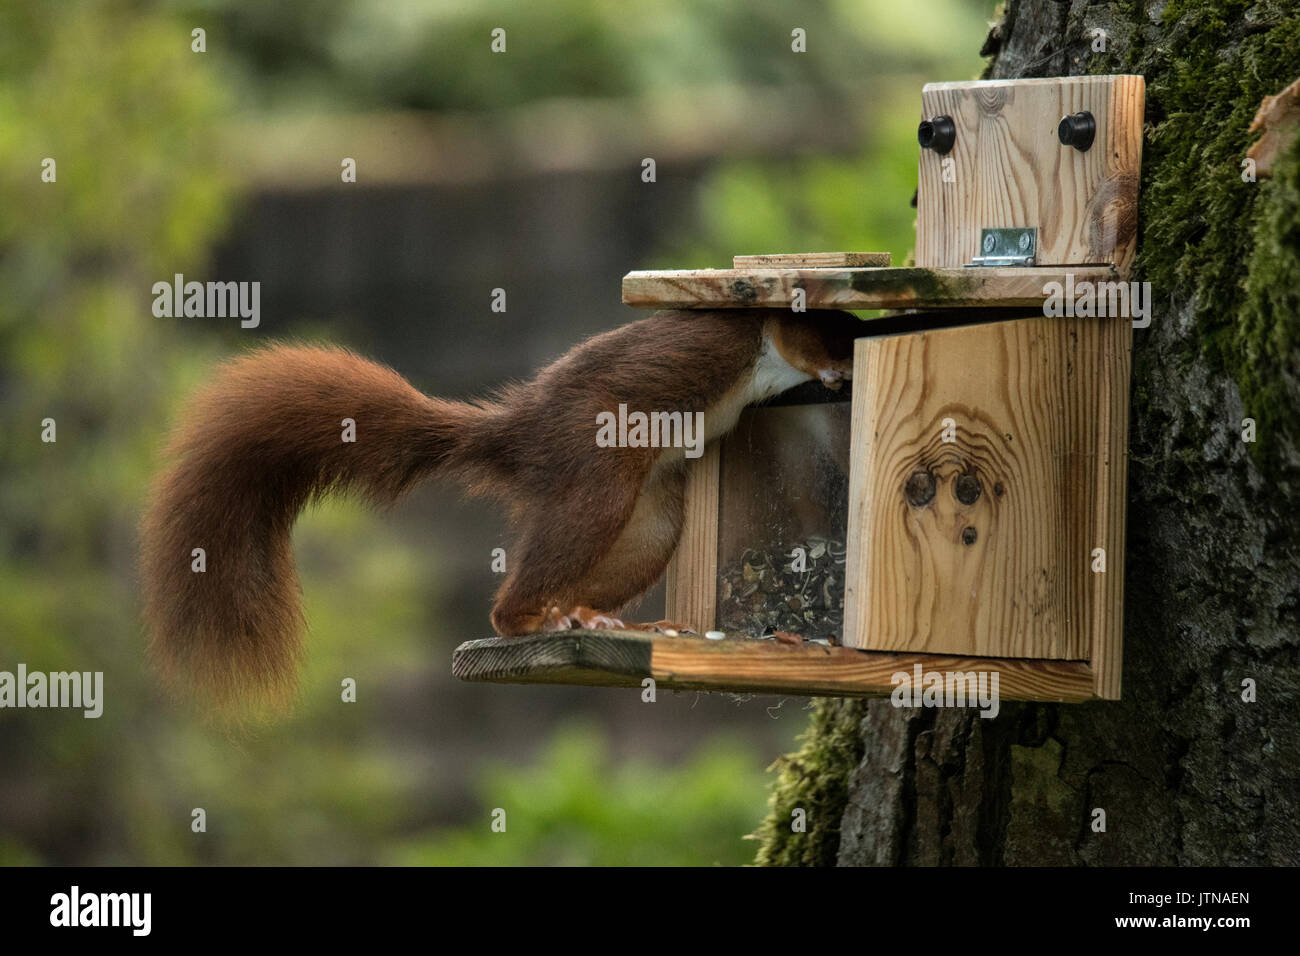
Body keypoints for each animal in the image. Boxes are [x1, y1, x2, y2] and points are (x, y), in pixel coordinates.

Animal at [139, 308, 862, 711]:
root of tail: (519, 432)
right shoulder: (786, 323)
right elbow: (796, 339)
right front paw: (838, 370)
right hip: (597, 466)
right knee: (527, 585)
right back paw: (528, 619)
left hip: (651, 522)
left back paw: (600, 619)